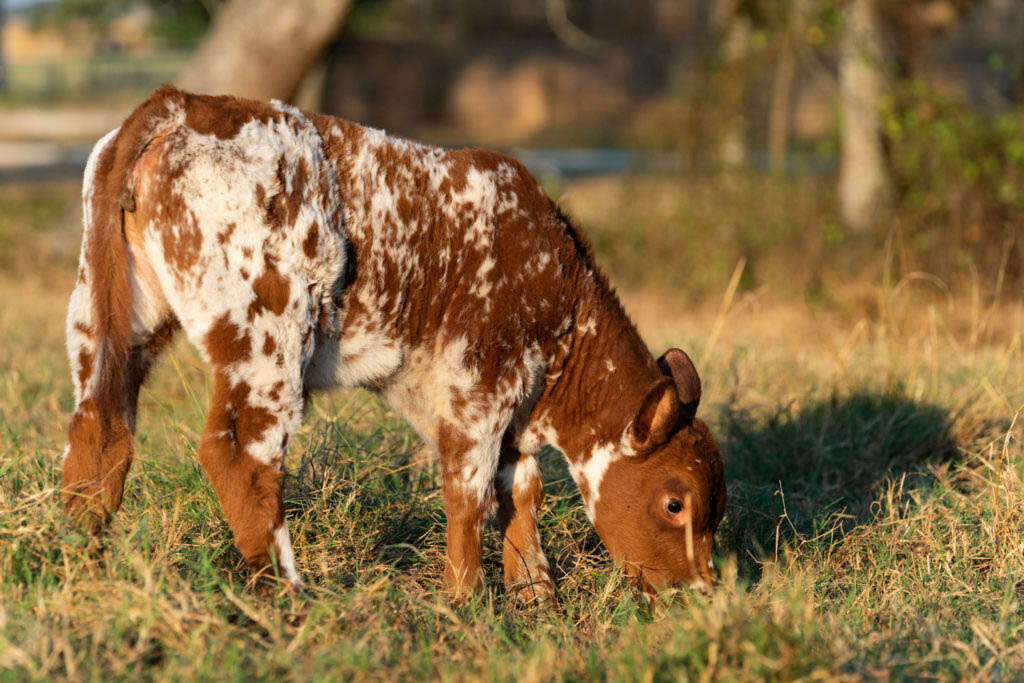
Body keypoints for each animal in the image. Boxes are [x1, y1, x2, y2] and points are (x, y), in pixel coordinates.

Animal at [61, 86, 726, 602]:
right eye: (674, 503)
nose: (696, 593)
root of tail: (185, 102)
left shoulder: (509, 406)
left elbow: (522, 486)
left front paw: (536, 595)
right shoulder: (480, 383)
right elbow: (469, 489)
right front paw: (466, 601)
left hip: (106, 313)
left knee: (101, 427)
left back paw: (78, 562)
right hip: (263, 333)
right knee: (240, 451)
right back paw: (288, 593)